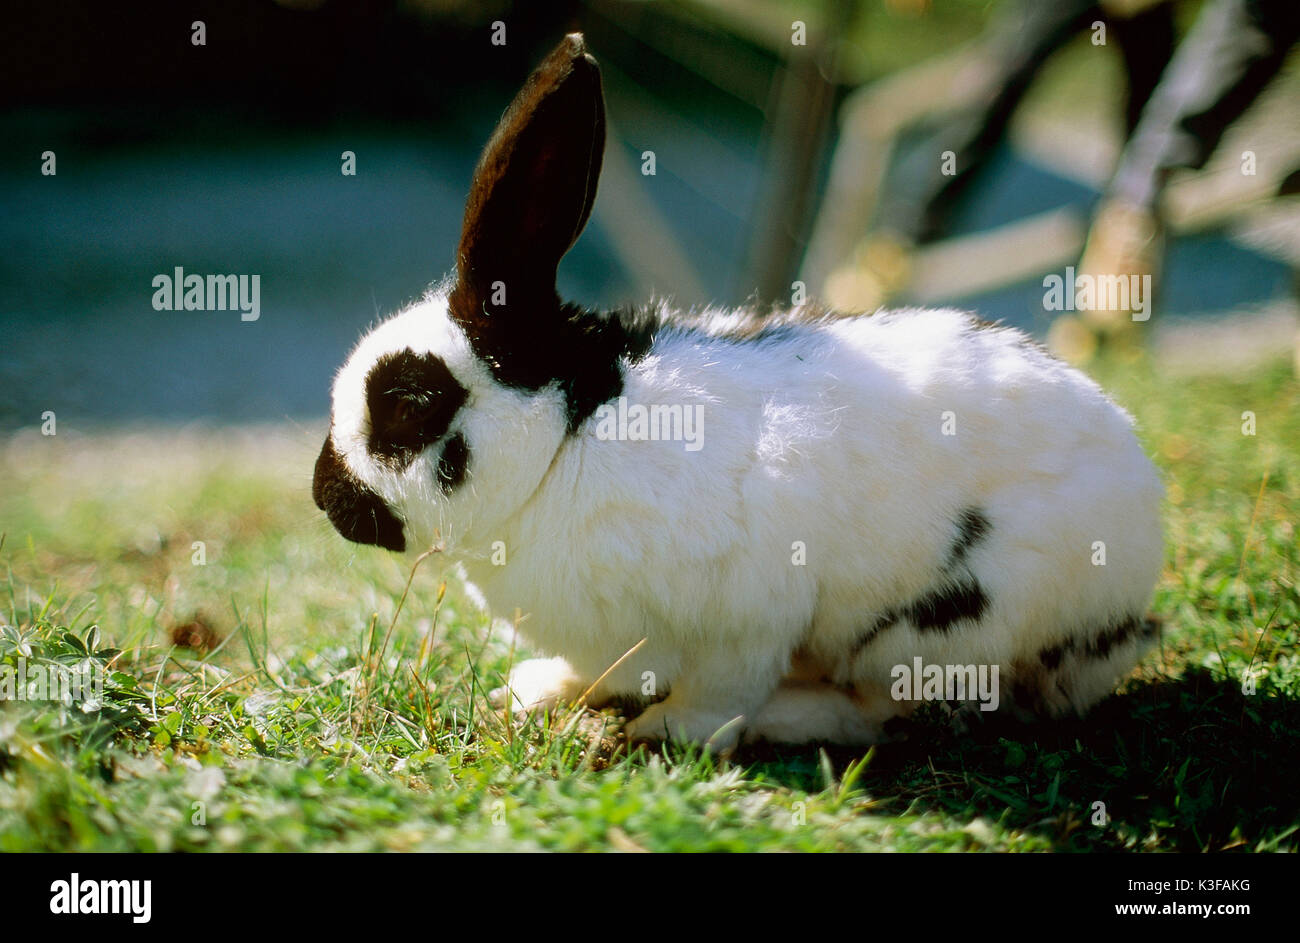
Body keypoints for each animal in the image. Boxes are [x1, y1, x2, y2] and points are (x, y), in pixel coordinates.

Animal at [312, 33, 1164, 751]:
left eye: (409, 401)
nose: (325, 495)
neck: (563, 442)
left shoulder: (742, 618)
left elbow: (719, 692)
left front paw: (660, 731)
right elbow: (596, 668)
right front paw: (536, 688)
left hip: (931, 630)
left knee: (880, 710)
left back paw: (786, 717)